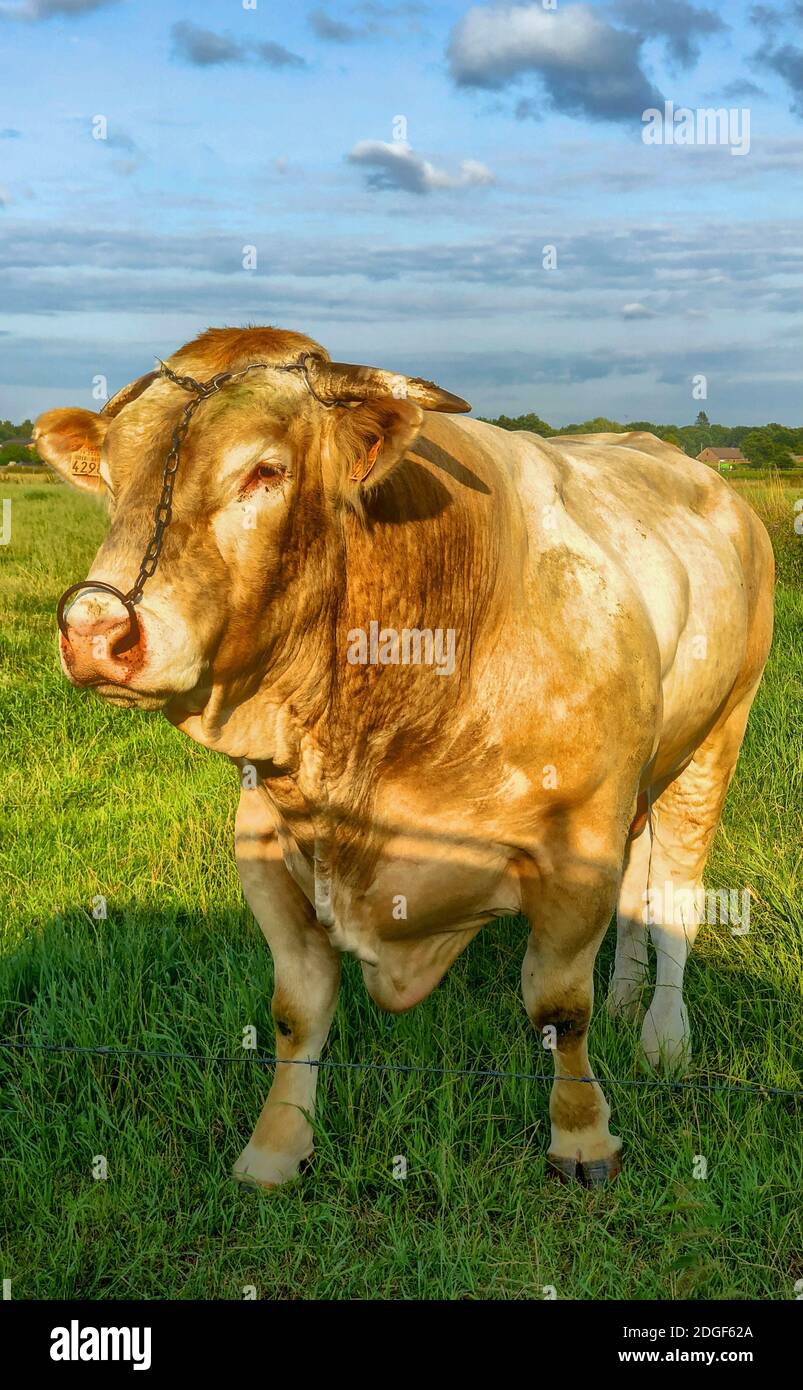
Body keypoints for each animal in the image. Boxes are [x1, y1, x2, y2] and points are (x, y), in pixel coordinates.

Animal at [35, 326, 774, 1189]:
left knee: (674, 897)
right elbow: (296, 1011)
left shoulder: (578, 846)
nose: (94, 630)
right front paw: (275, 1147)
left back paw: (662, 1037)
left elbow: (560, 1009)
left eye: (265, 470)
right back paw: (626, 1002)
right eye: (113, 476)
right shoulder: (263, 844)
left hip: (717, 736)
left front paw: (582, 1138)